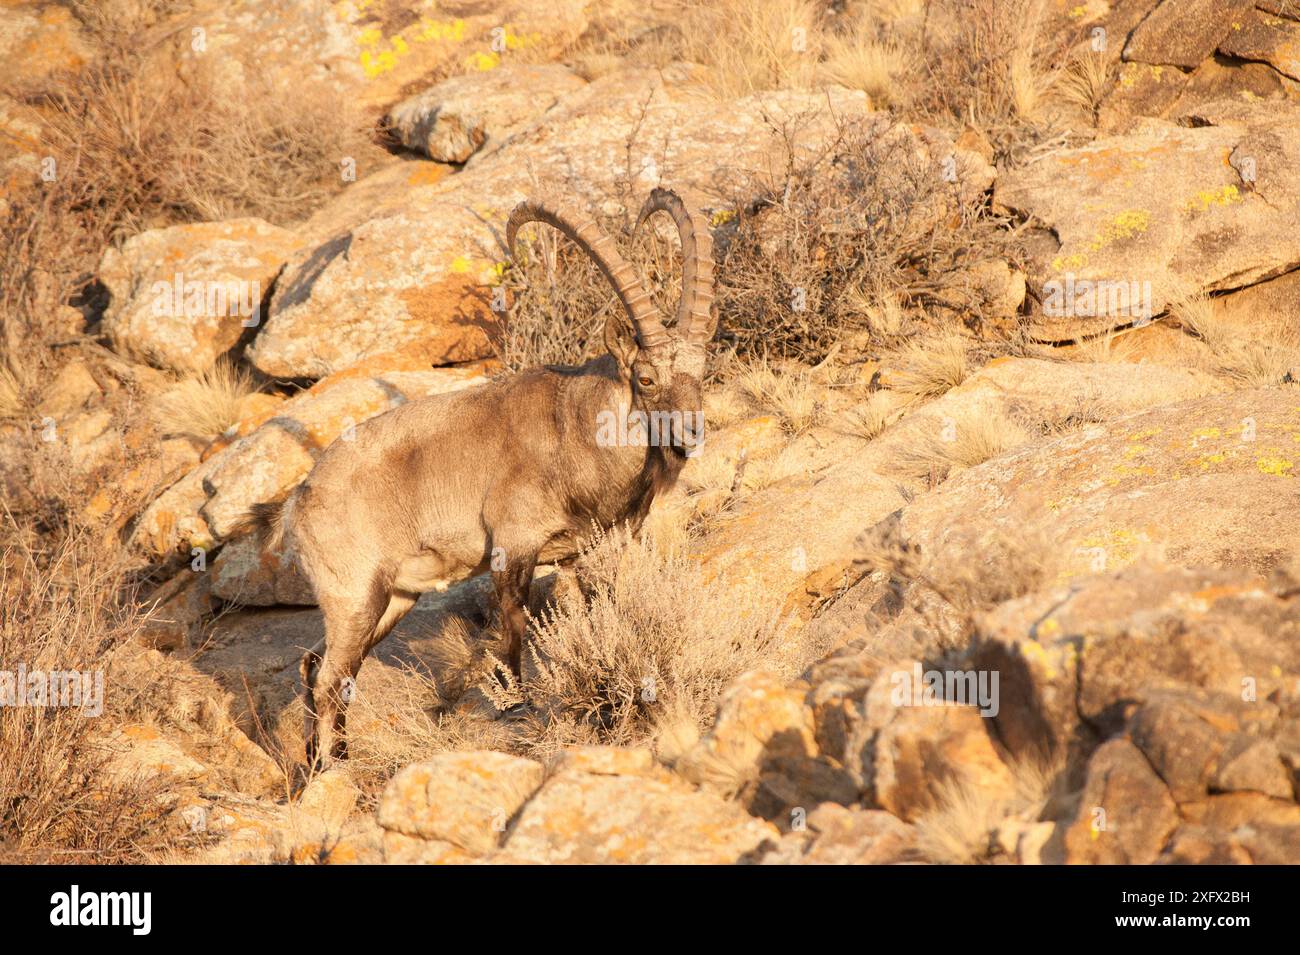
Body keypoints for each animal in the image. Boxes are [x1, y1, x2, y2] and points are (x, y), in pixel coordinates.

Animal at [245, 188, 717, 768]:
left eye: (703, 371)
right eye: (645, 378)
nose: (689, 435)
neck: (576, 430)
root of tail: (297, 499)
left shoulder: (585, 552)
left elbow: (595, 611)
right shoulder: (512, 545)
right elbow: (512, 630)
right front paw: (520, 706)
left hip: (391, 598)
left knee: (320, 666)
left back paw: (328, 761)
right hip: (355, 593)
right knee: (330, 675)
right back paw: (332, 766)